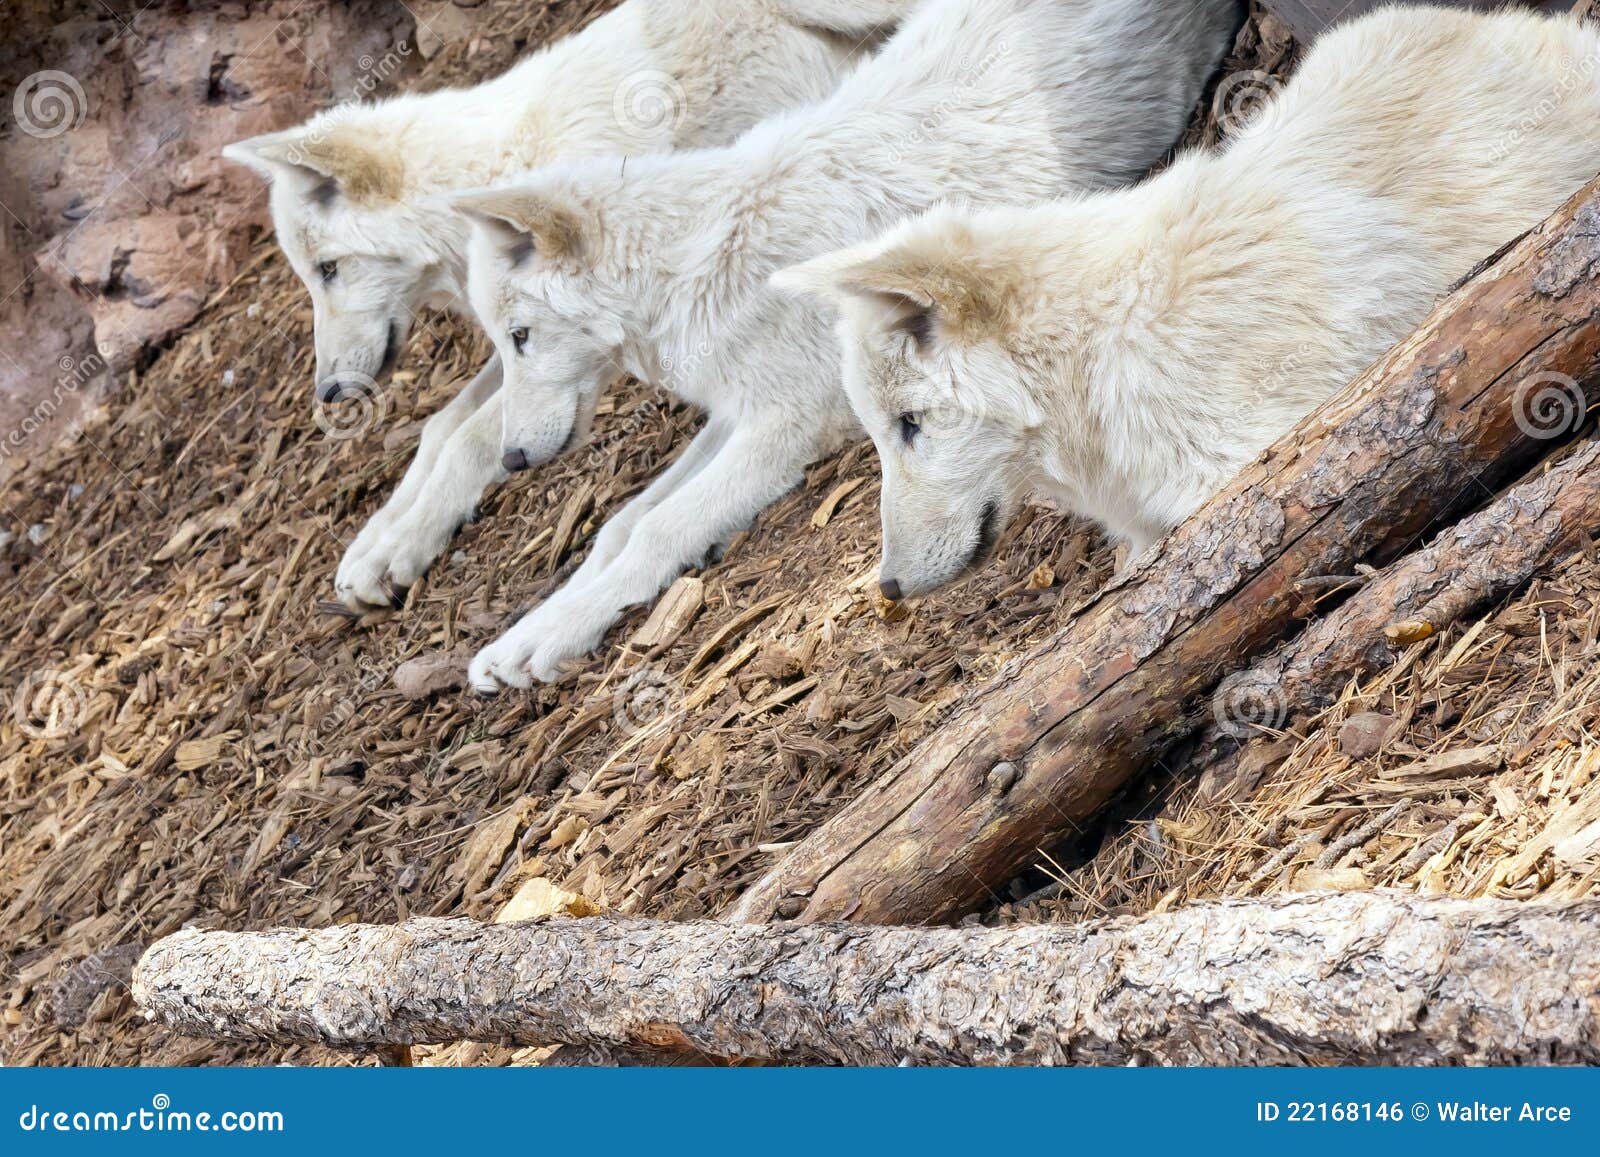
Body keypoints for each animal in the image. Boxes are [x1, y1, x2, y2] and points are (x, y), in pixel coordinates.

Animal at [223, 0, 914, 611]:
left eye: (328, 270)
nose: (329, 392)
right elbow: (438, 426)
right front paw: (372, 547)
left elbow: (469, 437)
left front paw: (400, 547)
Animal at [452, 0, 1244, 690]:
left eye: (520, 338)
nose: (511, 459)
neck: (698, 271)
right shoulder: (736, 412)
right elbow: (617, 526)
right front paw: (516, 644)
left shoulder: (784, 428)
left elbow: (656, 529)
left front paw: (550, 638)